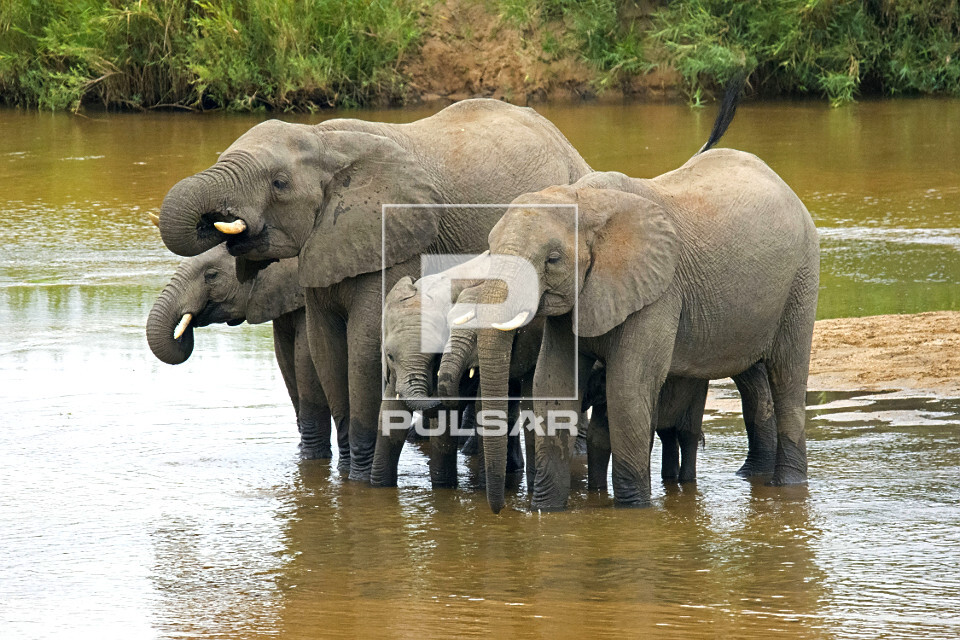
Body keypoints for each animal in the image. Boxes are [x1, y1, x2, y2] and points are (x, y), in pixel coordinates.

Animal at [472, 147, 818, 513]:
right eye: (490, 248)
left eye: (552, 259)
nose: (498, 509)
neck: (585, 200)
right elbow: (552, 382)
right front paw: (544, 510)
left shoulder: (659, 291)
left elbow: (628, 387)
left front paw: (633, 508)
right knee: (752, 378)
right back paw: (753, 475)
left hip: (802, 276)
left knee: (787, 378)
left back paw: (787, 485)